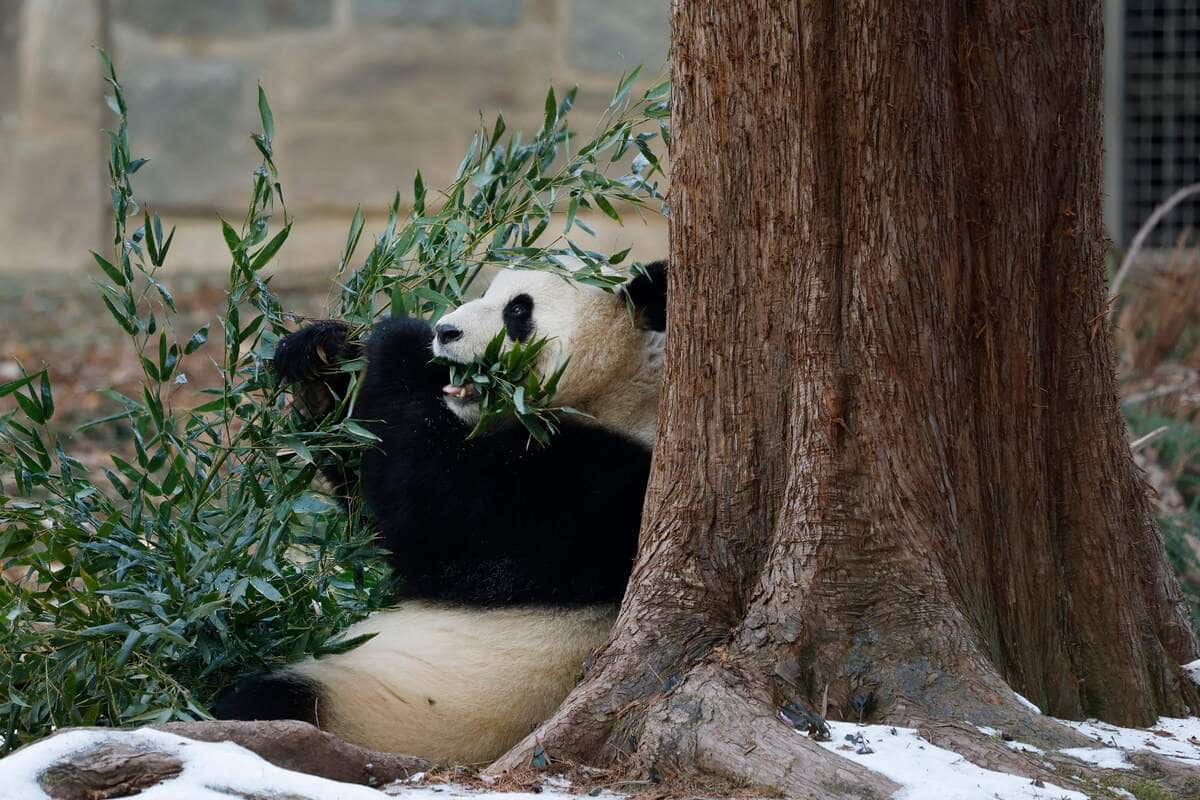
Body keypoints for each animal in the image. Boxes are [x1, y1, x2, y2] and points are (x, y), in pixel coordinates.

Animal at [214, 259, 668, 765]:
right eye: (488, 291)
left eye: (518, 310)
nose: (445, 331)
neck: (621, 395)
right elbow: (369, 502)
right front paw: (320, 357)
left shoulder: (588, 491)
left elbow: (435, 509)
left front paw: (399, 337)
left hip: (384, 712)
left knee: (267, 703)